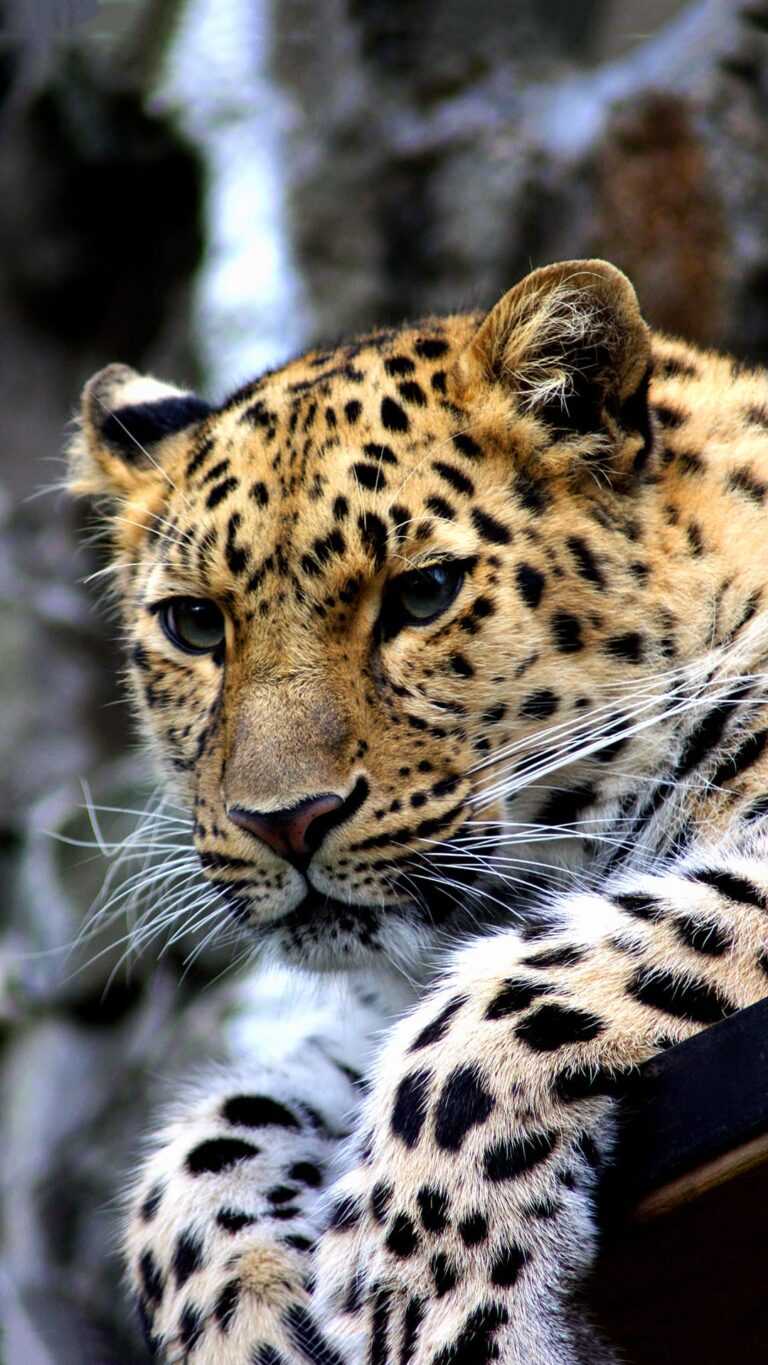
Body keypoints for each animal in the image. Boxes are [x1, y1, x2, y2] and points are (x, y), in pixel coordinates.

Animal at [67, 258, 768, 1365]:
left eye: (425, 593)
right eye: (194, 625)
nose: (283, 820)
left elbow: (501, 1004)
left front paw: (436, 1299)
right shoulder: (365, 1013)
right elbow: (210, 1137)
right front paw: (249, 1329)